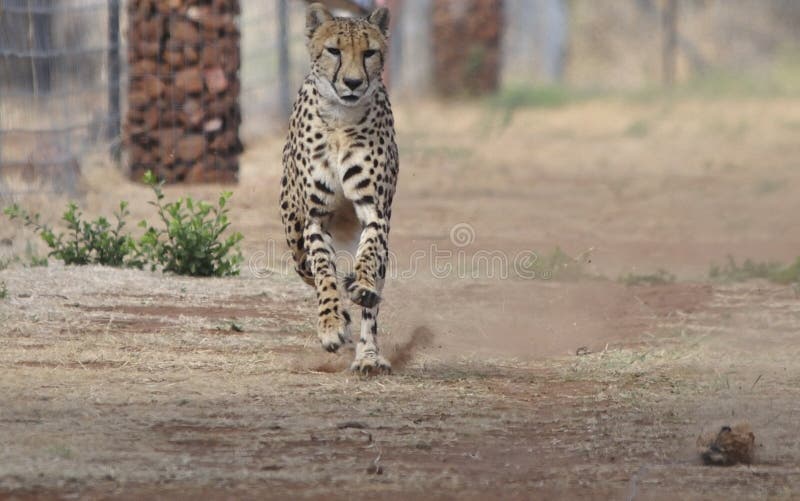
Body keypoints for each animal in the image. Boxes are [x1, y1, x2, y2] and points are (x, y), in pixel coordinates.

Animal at [279, 3, 398, 374]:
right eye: (334, 51)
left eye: (369, 52)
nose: (353, 82)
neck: (342, 120)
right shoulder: (316, 218)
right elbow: (324, 272)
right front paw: (332, 323)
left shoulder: (375, 211)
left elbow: (367, 258)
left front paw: (361, 288)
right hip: (294, 233)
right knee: (309, 270)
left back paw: (368, 354)